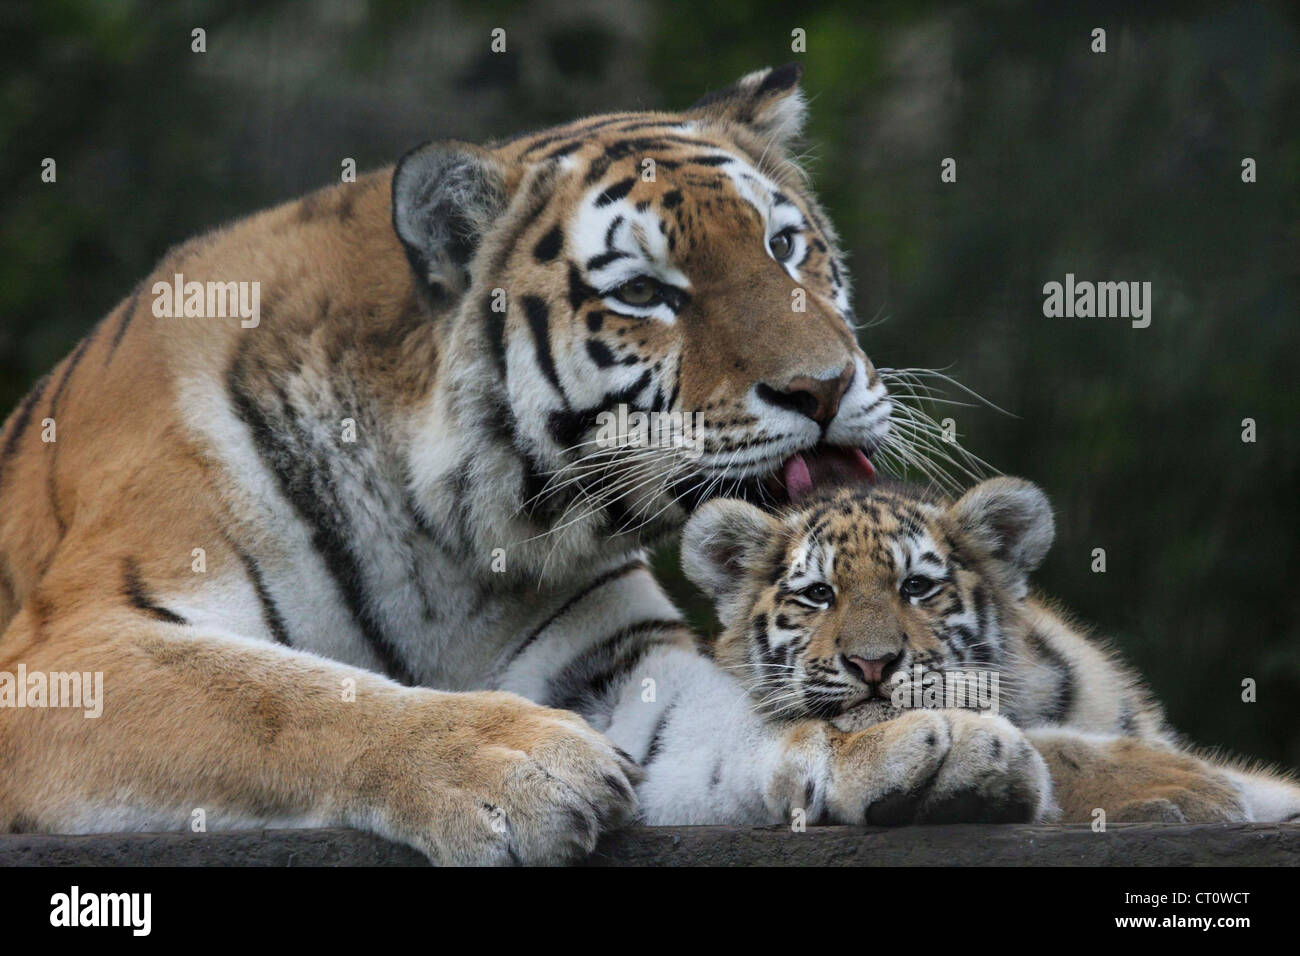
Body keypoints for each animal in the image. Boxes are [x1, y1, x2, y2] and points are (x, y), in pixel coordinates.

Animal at [1, 64, 1049, 864]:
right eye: (645, 293)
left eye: (787, 247)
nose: (824, 388)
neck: (445, 536)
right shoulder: (71, 651)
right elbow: (283, 697)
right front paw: (521, 767)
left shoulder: (607, 662)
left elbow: (740, 724)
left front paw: (930, 740)